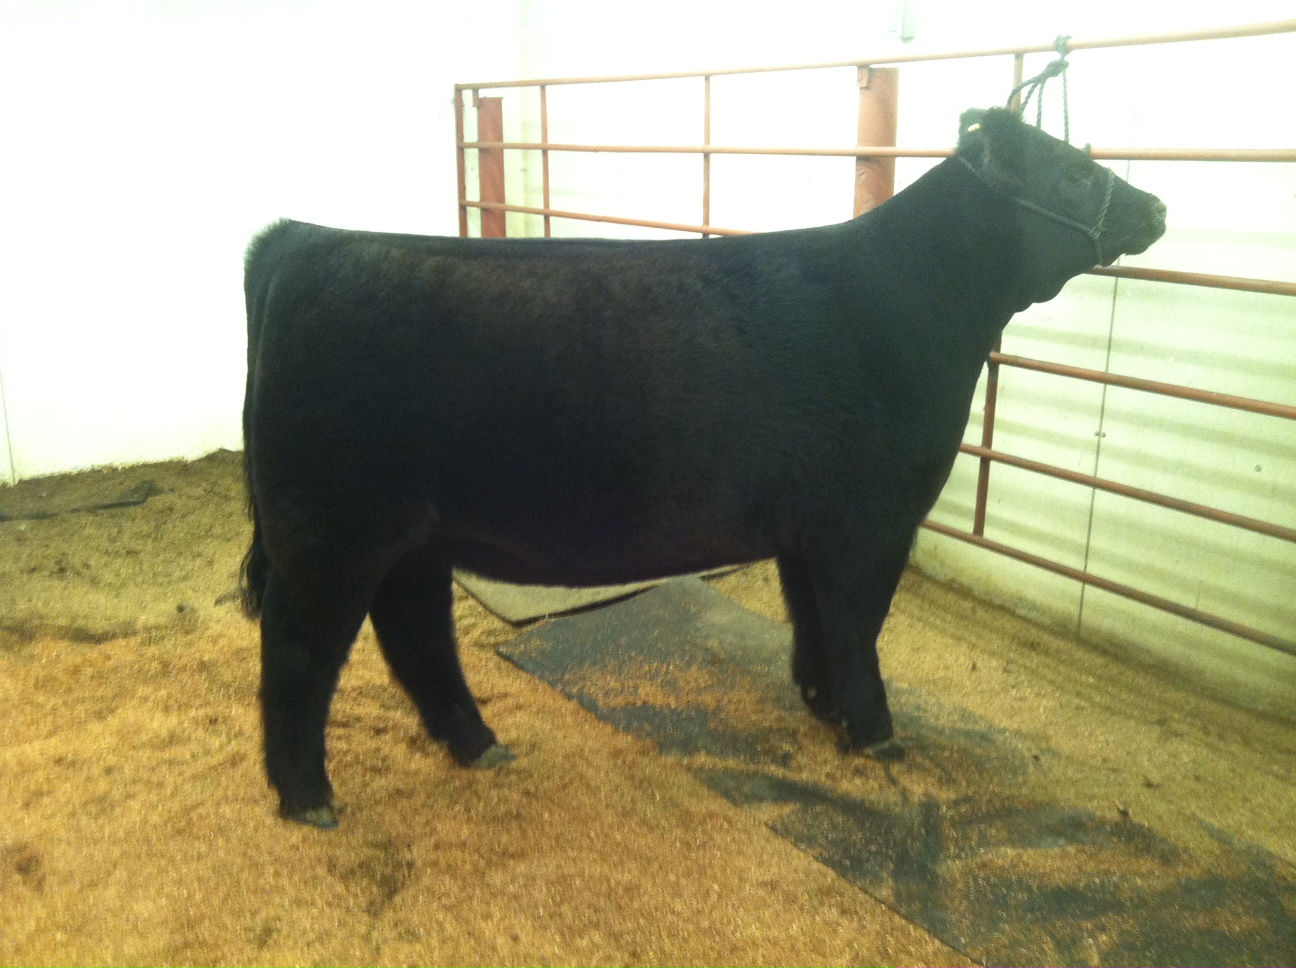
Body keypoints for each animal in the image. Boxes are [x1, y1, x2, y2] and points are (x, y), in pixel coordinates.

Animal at [241, 107, 1166, 827]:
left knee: (414, 633)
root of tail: (304, 241)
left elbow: (813, 621)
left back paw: (480, 747)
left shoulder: (807, 527)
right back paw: (309, 799)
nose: (1155, 204)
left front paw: (823, 707)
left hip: (413, 536)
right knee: (300, 650)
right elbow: (856, 625)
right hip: (332, 531)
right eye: (1074, 172)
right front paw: (876, 734)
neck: (925, 305)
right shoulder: (870, 519)